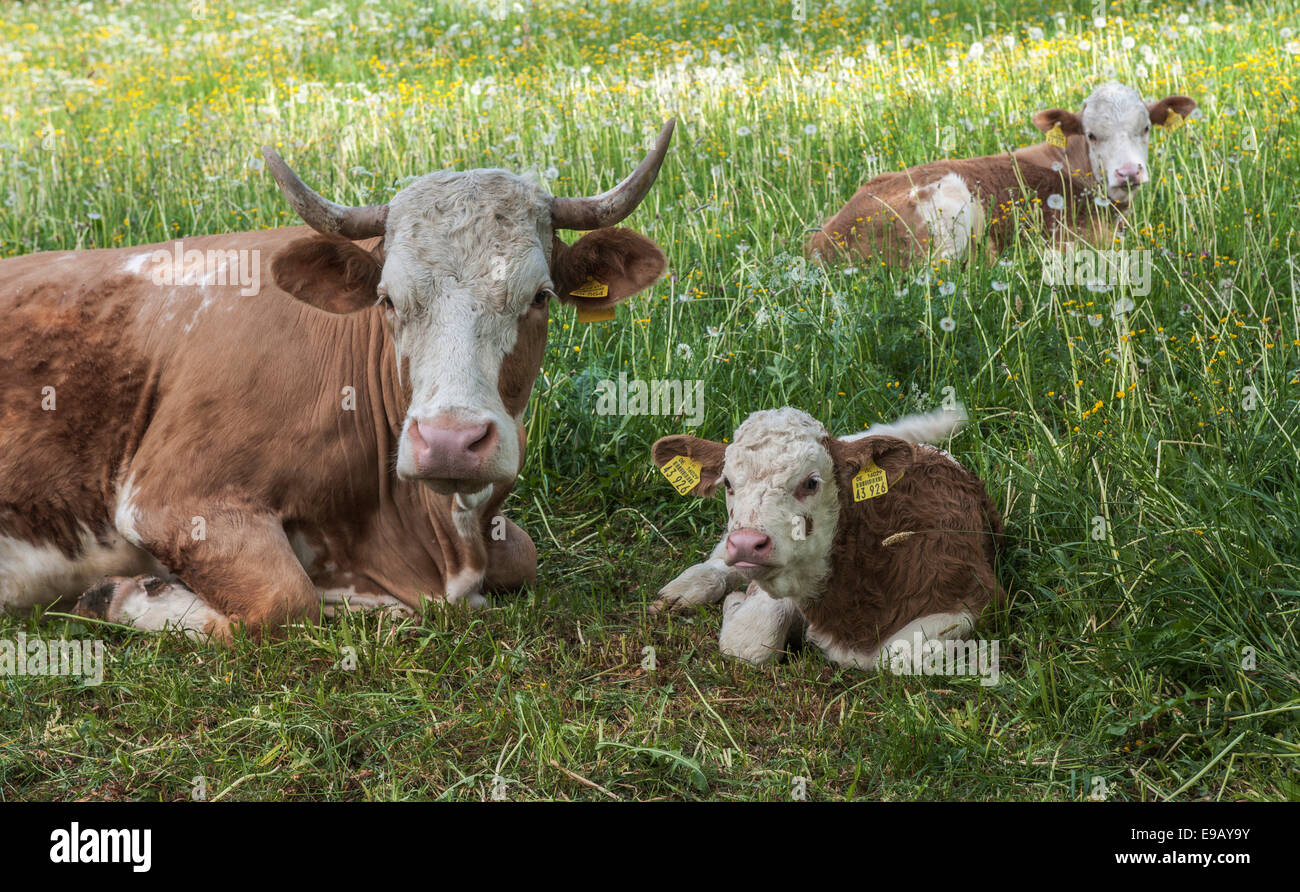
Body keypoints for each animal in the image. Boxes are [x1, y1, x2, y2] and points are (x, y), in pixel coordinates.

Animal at [0, 120, 676, 642]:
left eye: (538, 296)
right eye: (388, 299)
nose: (451, 442)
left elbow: (523, 556)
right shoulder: (169, 497)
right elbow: (284, 601)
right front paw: (120, 596)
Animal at [650, 407, 1005, 668]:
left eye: (811, 482)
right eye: (727, 483)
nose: (748, 543)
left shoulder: (976, 592)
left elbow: (898, 655)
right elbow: (748, 643)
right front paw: (735, 602)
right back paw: (687, 588)